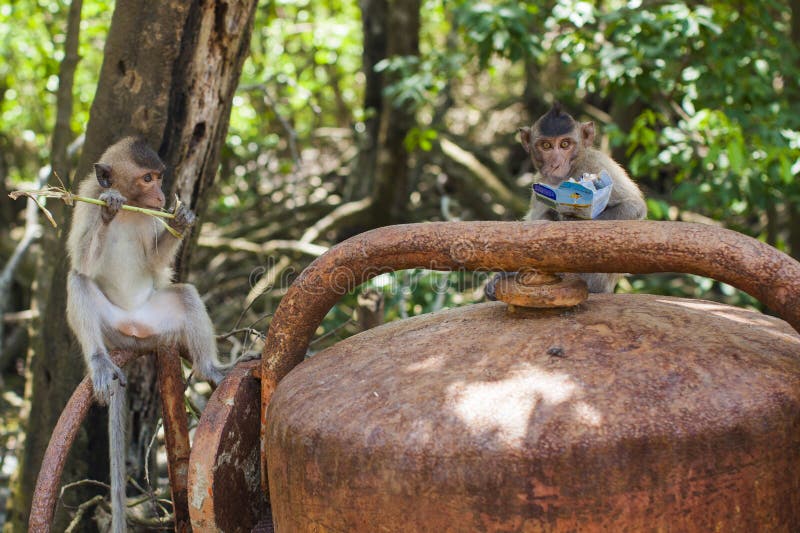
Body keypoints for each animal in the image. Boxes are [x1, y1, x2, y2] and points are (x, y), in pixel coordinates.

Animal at [66, 137, 228, 532]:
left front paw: (182, 220)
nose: (162, 194)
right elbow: (82, 263)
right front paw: (109, 210)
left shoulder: (153, 216)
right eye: (147, 178)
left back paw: (210, 369)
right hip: (111, 327)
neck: (131, 207)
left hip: (155, 322)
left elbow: (156, 263)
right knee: (78, 279)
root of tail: (132, 330)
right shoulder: (88, 199)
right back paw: (99, 361)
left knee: (185, 293)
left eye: (159, 177)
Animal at [486, 103, 647, 299]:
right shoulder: (540, 181)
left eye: (565, 144)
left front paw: (569, 221)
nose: (556, 164)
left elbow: (633, 207)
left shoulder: (596, 164)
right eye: (546, 145)